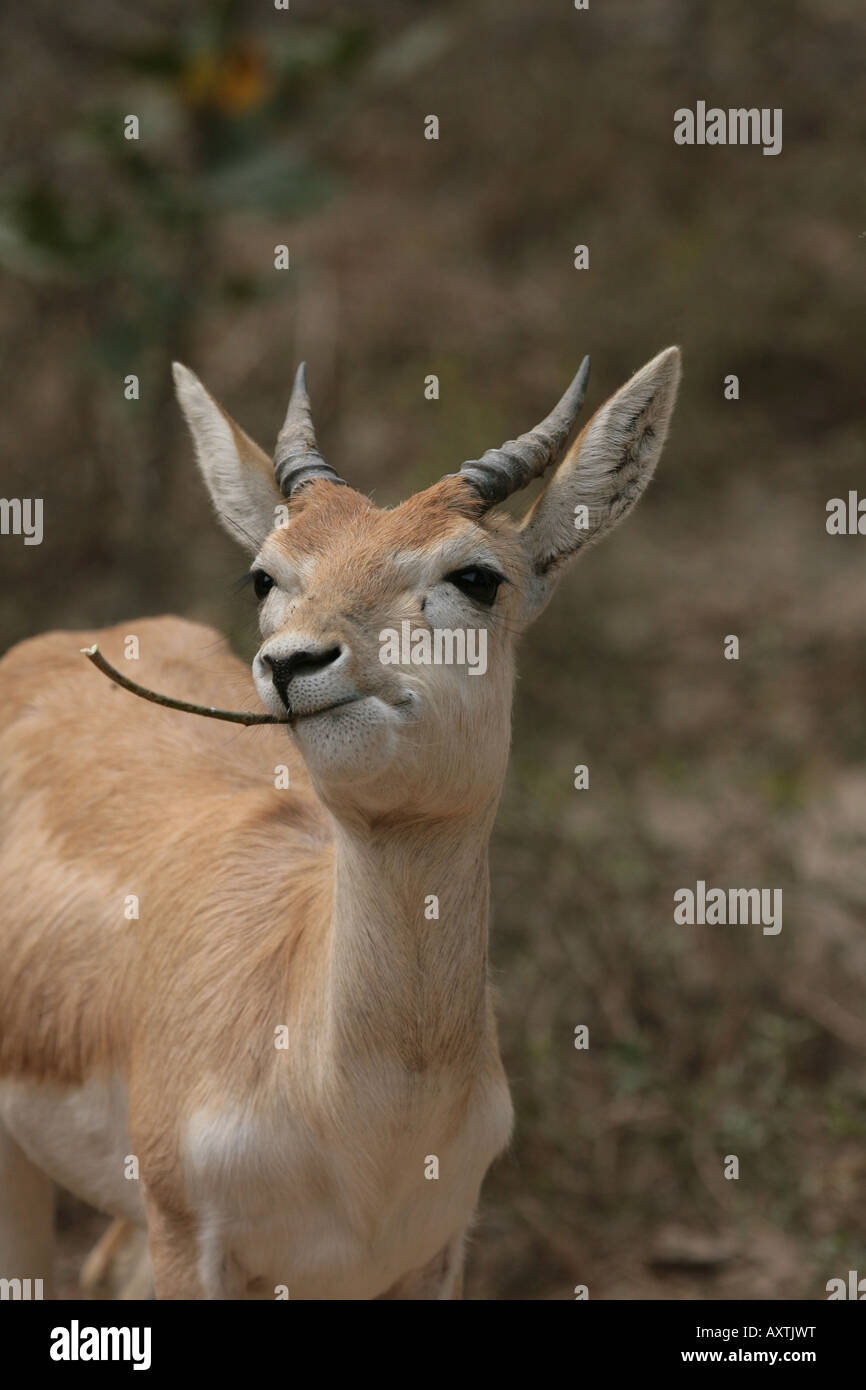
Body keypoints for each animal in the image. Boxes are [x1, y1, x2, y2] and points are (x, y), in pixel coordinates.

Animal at [0, 344, 680, 1299]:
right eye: (266, 575)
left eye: (478, 577)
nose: (295, 663)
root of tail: (63, 643)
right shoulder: (187, 1239)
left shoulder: (430, 1256)